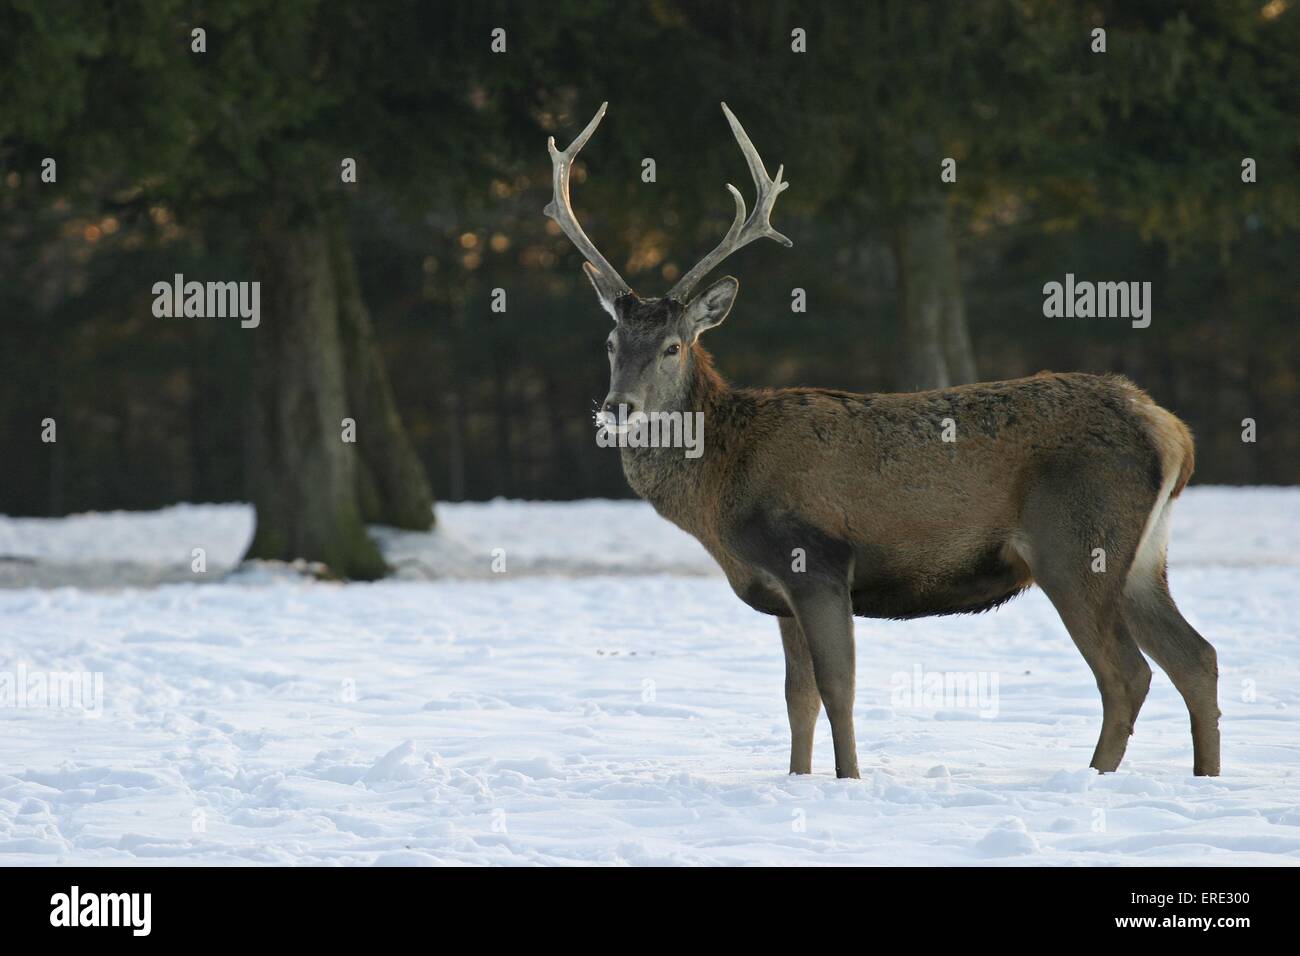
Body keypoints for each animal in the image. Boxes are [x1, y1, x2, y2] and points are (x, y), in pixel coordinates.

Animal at [545, 102, 1221, 779]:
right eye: (611, 343)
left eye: (672, 347)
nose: (618, 409)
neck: (724, 490)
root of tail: (1171, 430)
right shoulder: (782, 590)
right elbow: (797, 698)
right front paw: (798, 779)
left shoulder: (816, 558)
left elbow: (837, 688)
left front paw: (849, 780)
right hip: (1140, 555)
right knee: (1197, 657)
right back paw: (1203, 777)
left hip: (1076, 544)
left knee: (1127, 673)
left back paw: (1093, 778)